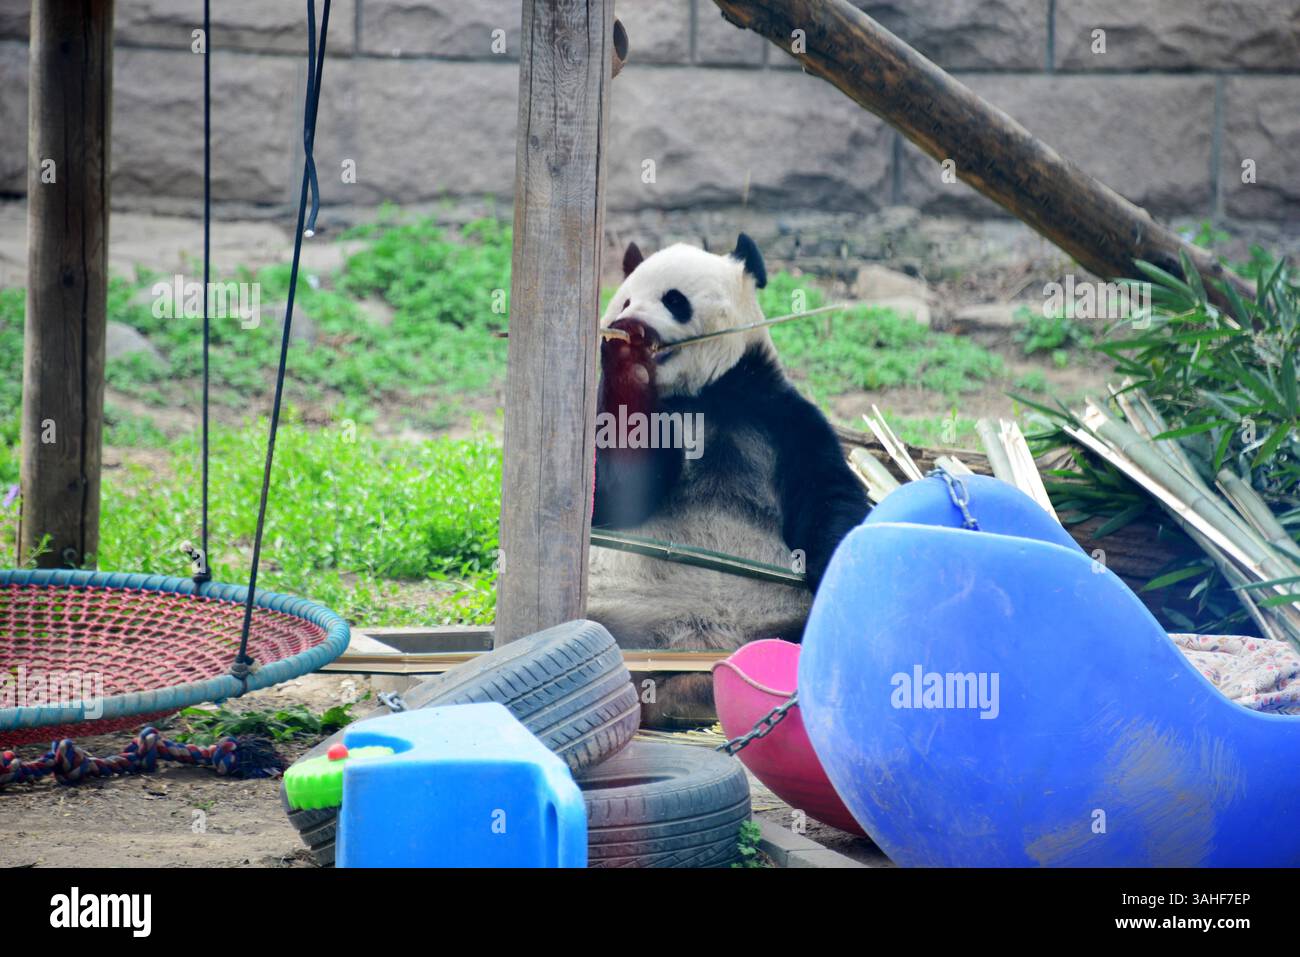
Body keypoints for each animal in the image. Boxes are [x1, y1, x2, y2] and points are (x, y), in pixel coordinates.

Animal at [587, 233, 871, 728]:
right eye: (624, 299)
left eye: (674, 300)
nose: (630, 324)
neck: (703, 395)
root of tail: (699, 645)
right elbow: (615, 492)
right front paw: (626, 360)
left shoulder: (778, 418)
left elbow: (829, 497)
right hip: (621, 609)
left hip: (775, 613)